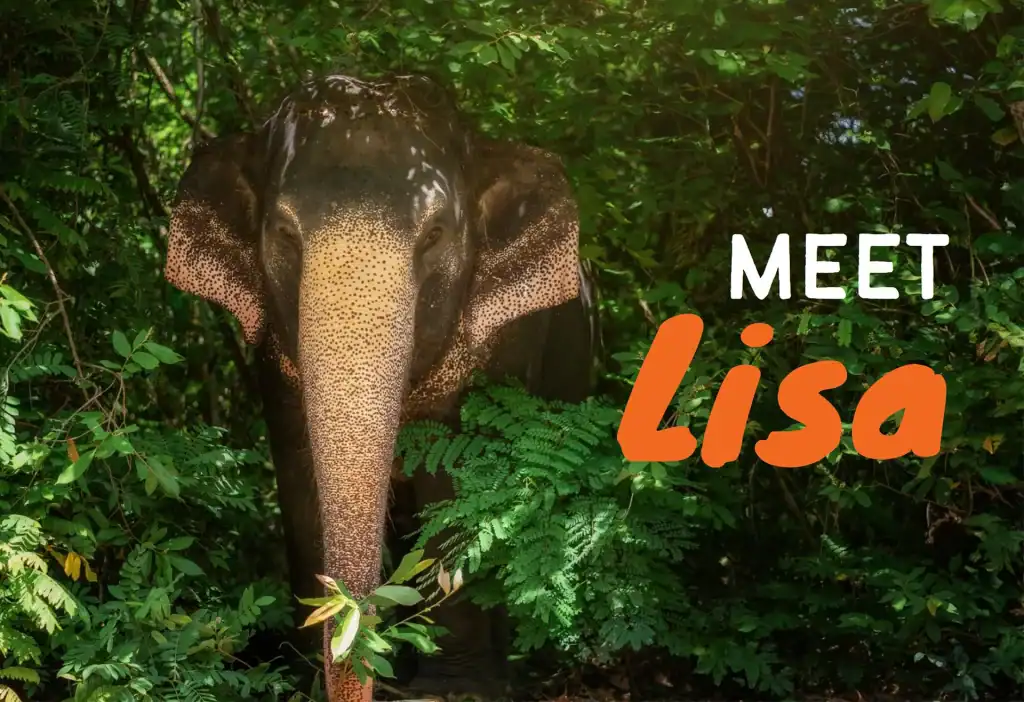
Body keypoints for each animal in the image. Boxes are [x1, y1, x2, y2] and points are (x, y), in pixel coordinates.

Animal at [163, 72, 596, 702]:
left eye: (436, 234)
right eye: (283, 234)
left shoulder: (508, 344)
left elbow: (454, 481)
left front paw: (454, 689)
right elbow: (297, 475)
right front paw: (301, 675)